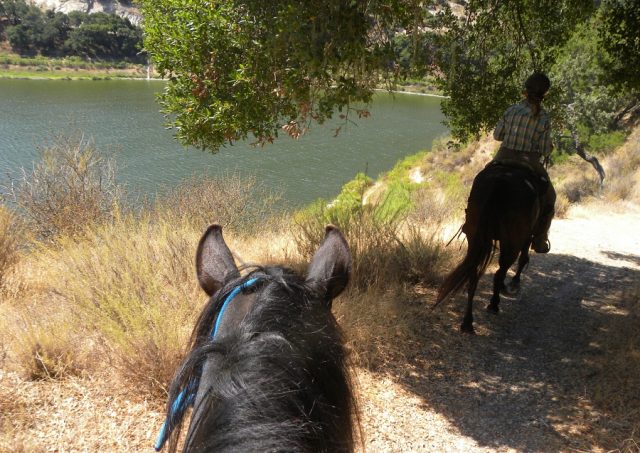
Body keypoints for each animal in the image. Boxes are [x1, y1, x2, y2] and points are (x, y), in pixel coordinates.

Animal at [435, 162, 545, 334]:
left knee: (474, 276)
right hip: (512, 241)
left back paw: (467, 322)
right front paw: (514, 283)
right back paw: (494, 304)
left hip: (475, 238)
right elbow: (523, 259)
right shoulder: (526, 237)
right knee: (500, 271)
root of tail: (499, 182)